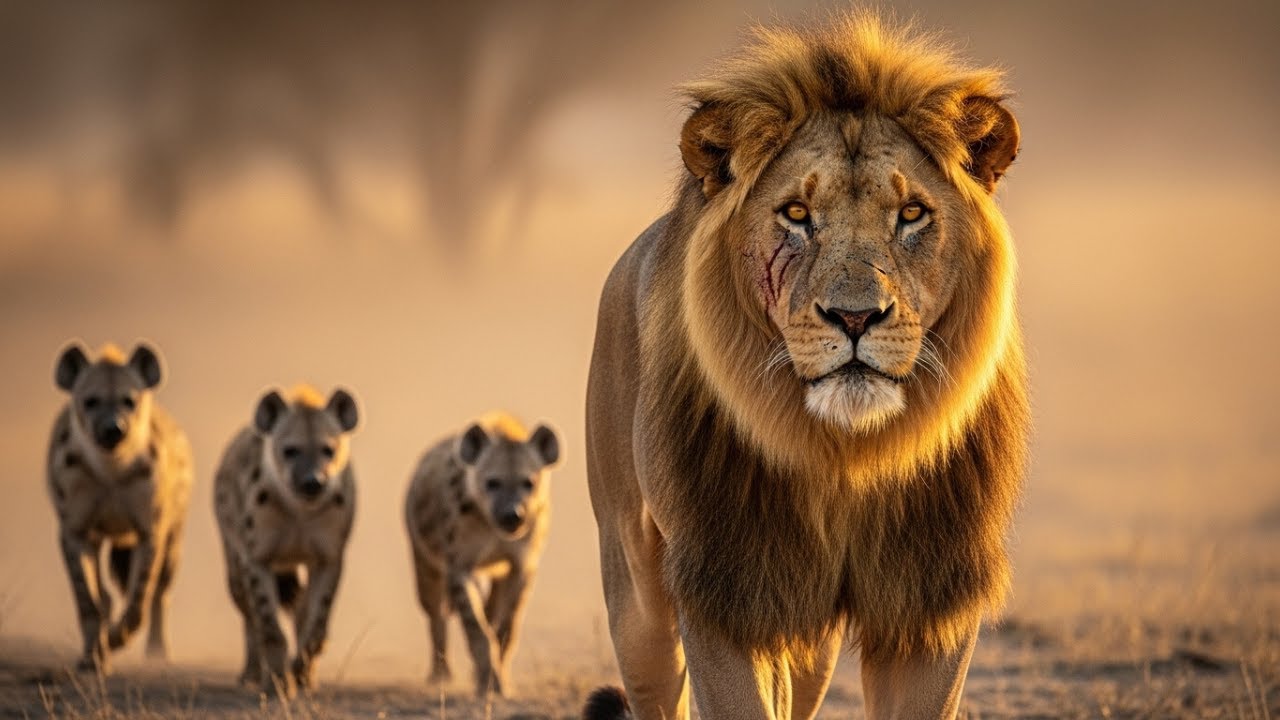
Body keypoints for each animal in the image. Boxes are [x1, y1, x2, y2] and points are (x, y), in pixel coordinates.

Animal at [584, 13, 1028, 720]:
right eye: (796, 214)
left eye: (911, 214)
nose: (855, 316)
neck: (845, 456)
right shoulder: (728, 585)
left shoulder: (932, 589)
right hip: (635, 585)